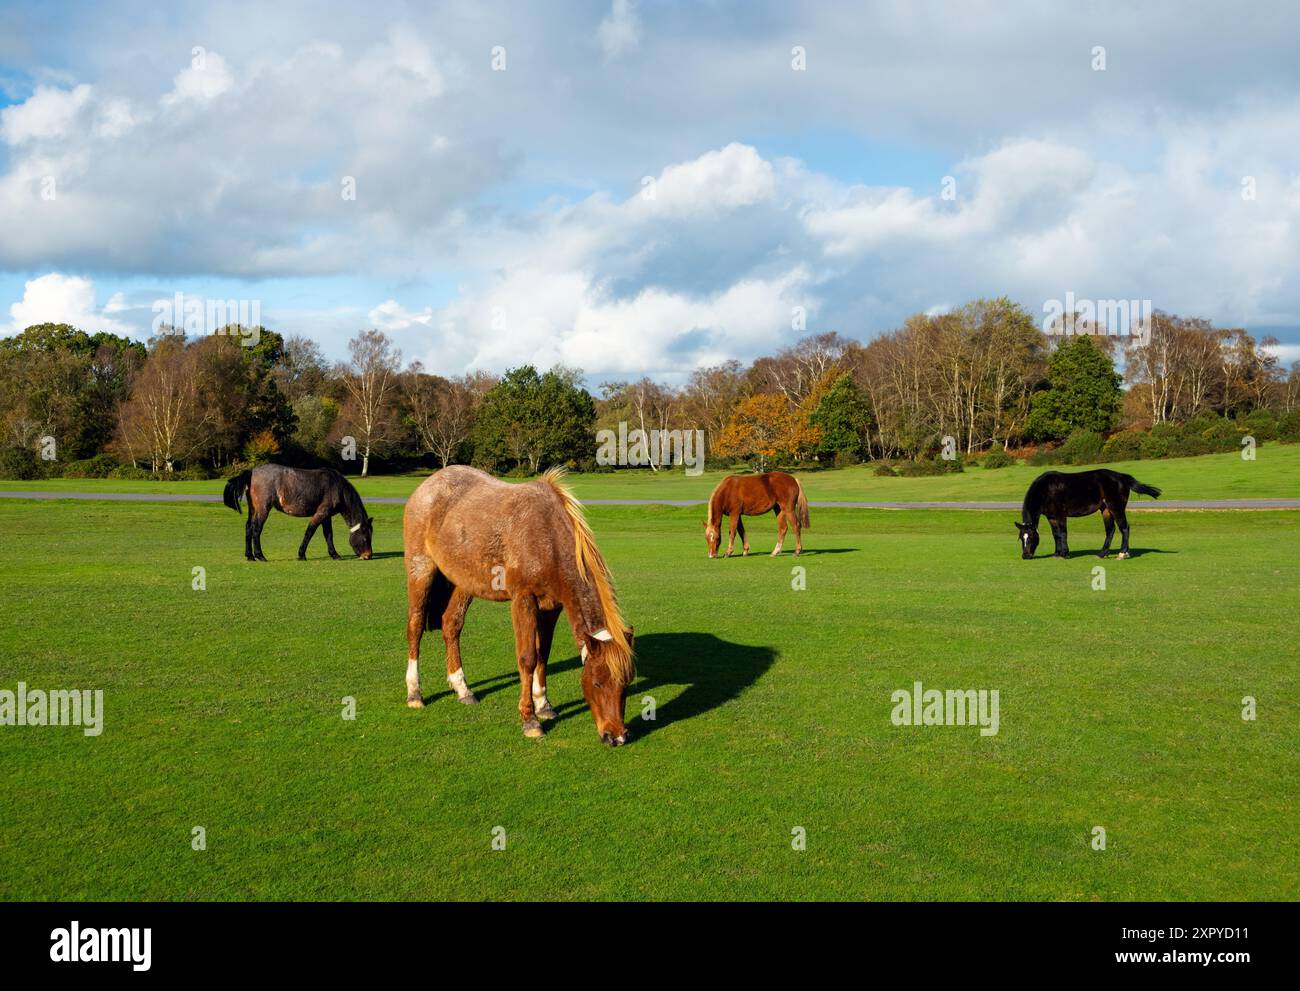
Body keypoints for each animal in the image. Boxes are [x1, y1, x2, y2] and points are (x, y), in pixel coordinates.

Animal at [223, 464, 373, 562]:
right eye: (366, 538)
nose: (368, 555)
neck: (337, 487)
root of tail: (252, 471)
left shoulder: (326, 517)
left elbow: (328, 535)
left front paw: (334, 554)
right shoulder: (321, 514)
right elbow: (310, 532)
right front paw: (301, 554)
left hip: (253, 510)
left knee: (248, 527)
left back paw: (250, 556)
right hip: (263, 509)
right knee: (256, 530)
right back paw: (260, 555)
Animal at [402, 465, 635, 746]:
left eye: (626, 684)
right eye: (598, 683)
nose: (617, 737)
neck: (548, 537)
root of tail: (428, 485)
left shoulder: (551, 607)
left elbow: (543, 654)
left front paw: (544, 705)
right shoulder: (523, 600)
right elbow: (527, 658)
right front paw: (530, 719)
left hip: (464, 581)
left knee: (451, 625)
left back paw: (462, 688)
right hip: (421, 569)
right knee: (415, 626)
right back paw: (415, 692)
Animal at [1016, 469, 1161, 560]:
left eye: (1031, 537)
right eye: (1021, 538)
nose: (1026, 556)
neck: (1046, 489)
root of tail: (1121, 477)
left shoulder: (1061, 514)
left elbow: (1063, 533)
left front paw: (1065, 553)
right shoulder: (1051, 517)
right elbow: (1056, 534)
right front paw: (1057, 553)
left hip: (1116, 507)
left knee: (1124, 528)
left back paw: (1122, 554)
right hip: (1106, 510)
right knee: (1111, 530)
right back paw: (1104, 553)